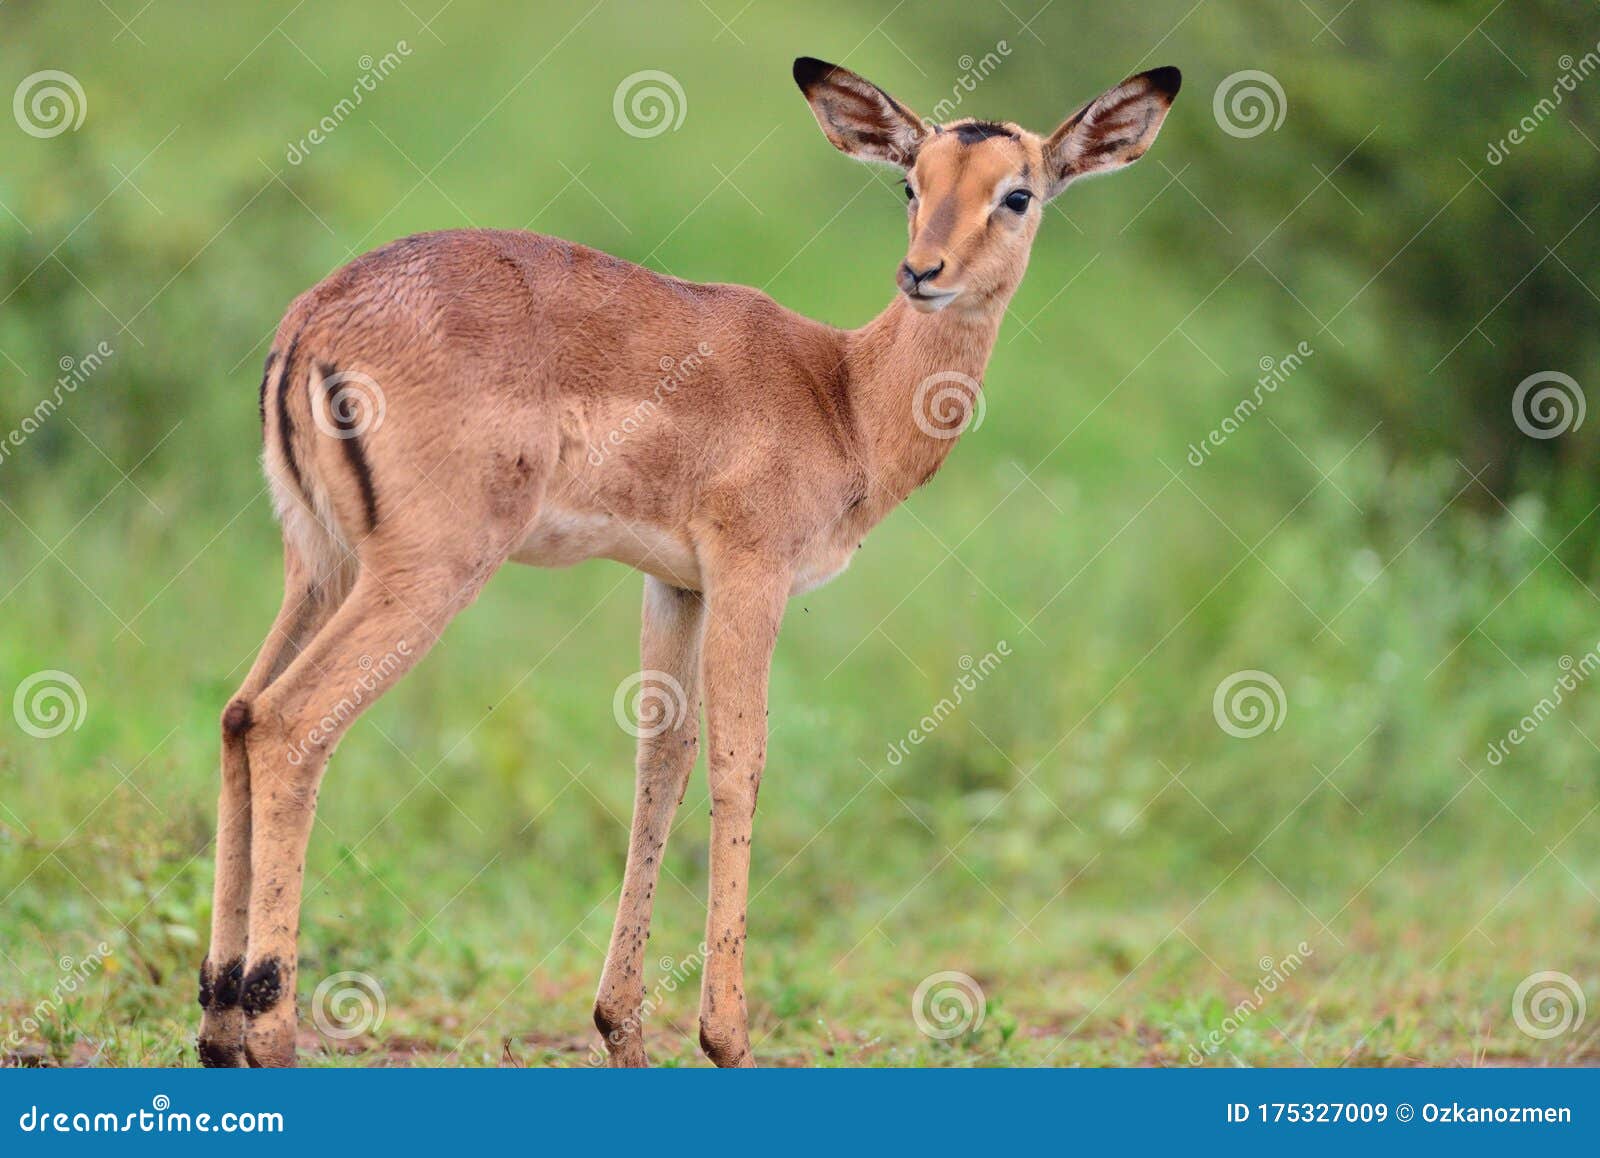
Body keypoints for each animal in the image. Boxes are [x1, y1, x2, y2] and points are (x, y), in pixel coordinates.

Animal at [196, 56, 1180, 1068]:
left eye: (1017, 193)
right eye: (912, 184)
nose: (923, 273)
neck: (846, 395)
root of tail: (315, 320)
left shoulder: (674, 585)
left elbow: (660, 762)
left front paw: (621, 1028)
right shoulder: (752, 574)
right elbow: (740, 763)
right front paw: (728, 1035)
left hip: (320, 568)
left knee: (238, 714)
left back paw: (220, 1024)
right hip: (426, 572)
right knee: (291, 724)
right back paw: (273, 1034)